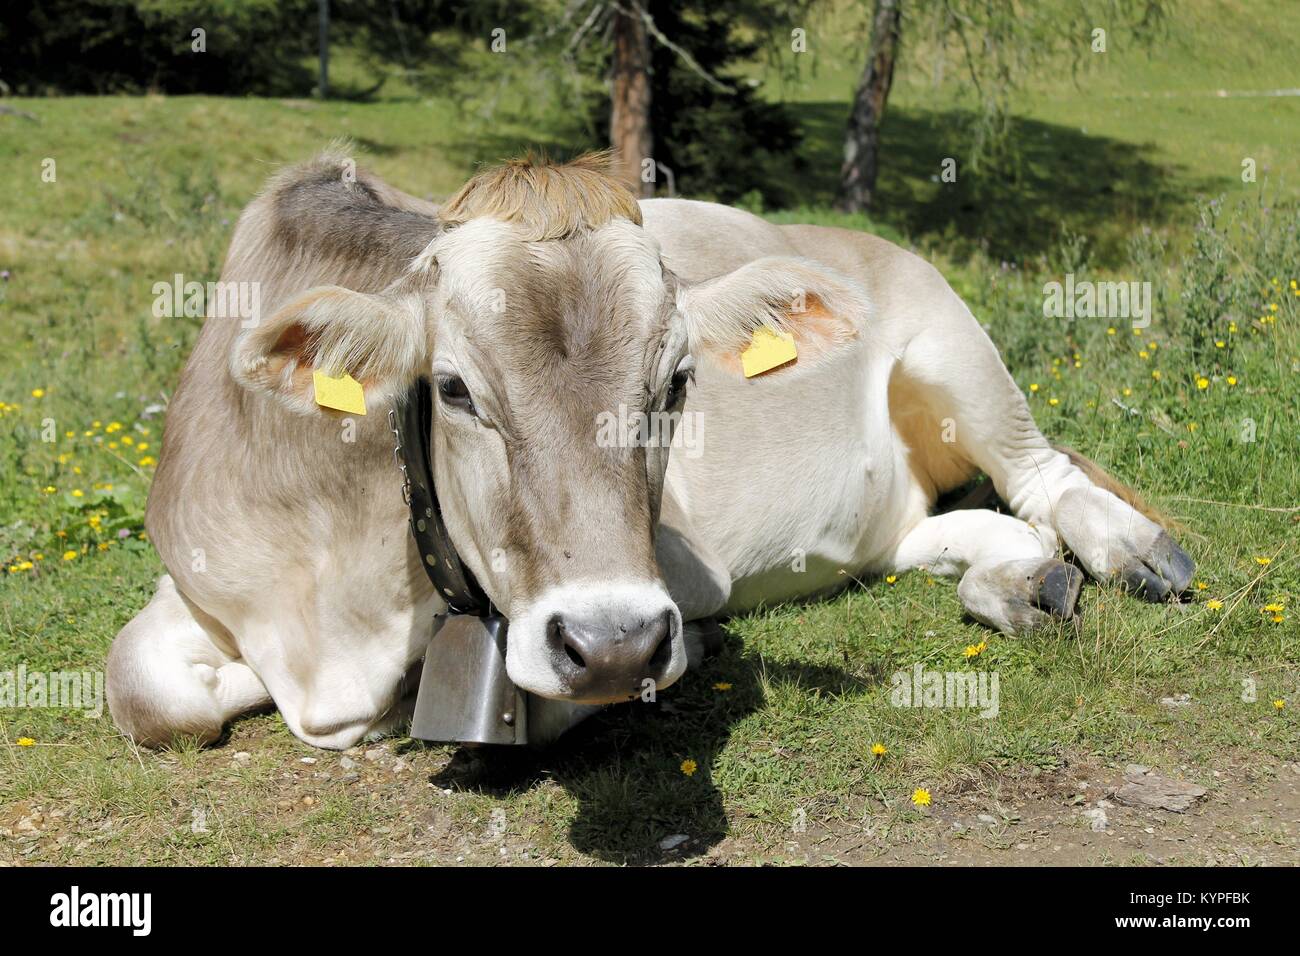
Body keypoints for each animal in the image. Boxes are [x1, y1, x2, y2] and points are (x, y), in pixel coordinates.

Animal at [105, 152, 1195, 750]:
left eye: (675, 382)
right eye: (452, 387)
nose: (615, 638)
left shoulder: (672, 575)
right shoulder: (195, 581)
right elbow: (141, 690)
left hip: (951, 344)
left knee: (1043, 475)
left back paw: (1134, 552)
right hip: (882, 513)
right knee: (949, 531)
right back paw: (1023, 583)